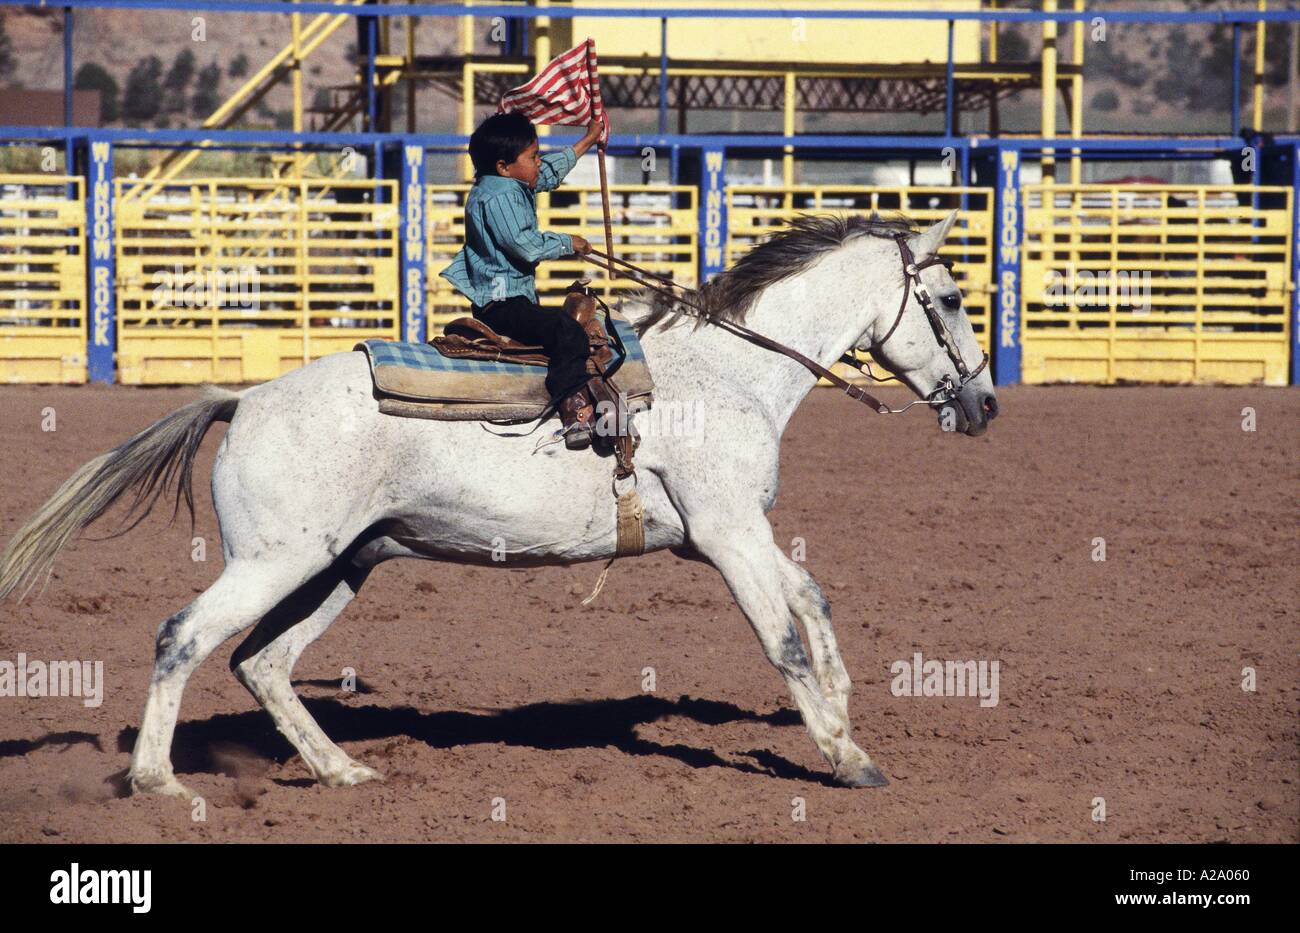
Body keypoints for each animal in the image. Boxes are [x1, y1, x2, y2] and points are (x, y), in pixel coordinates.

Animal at [0, 210, 997, 797]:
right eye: (950, 296)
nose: (985, 404)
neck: (729, 372)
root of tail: (242, 400)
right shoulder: (727, 534)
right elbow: (781, 636)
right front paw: (847, 753)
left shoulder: (728, 532)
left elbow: (811, 597)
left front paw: (844, 704)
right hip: (275, 561)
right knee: (184, 636)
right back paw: (159, 783)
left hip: (340, 565)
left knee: (263, 664)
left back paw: (342, 770)